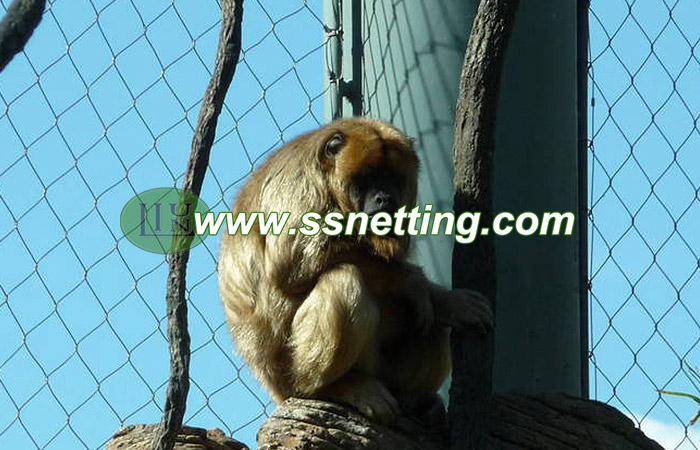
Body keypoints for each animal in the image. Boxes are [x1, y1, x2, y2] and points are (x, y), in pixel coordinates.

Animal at [218, 117, 492, 424]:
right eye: (368, 178)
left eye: (392, 178)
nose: (385, 198)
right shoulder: (299, 184)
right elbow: (288, 265)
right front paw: (413, 282)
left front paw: (447, 300)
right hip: (288, 373)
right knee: (344, 279)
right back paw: (333, 387)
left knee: (431, 323)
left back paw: (413, 398)